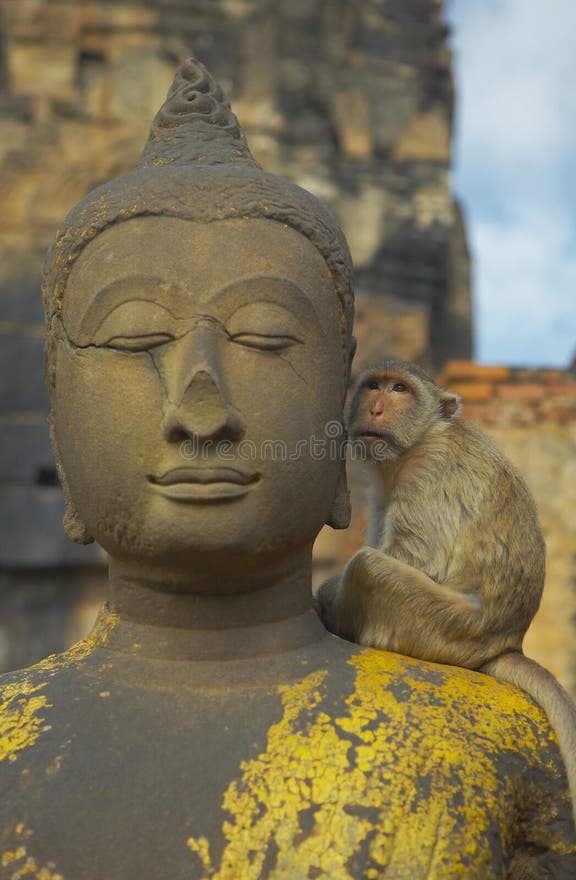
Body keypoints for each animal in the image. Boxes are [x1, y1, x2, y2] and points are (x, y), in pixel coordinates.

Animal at [316, 358, 576, 822]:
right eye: (373, 386)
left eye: (399, 390)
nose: (377, 407)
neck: (419, 441)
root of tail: (505, 642)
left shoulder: (428, 477)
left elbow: (417, 560)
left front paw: (327, 595)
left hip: (444, 626)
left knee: (370, 568)